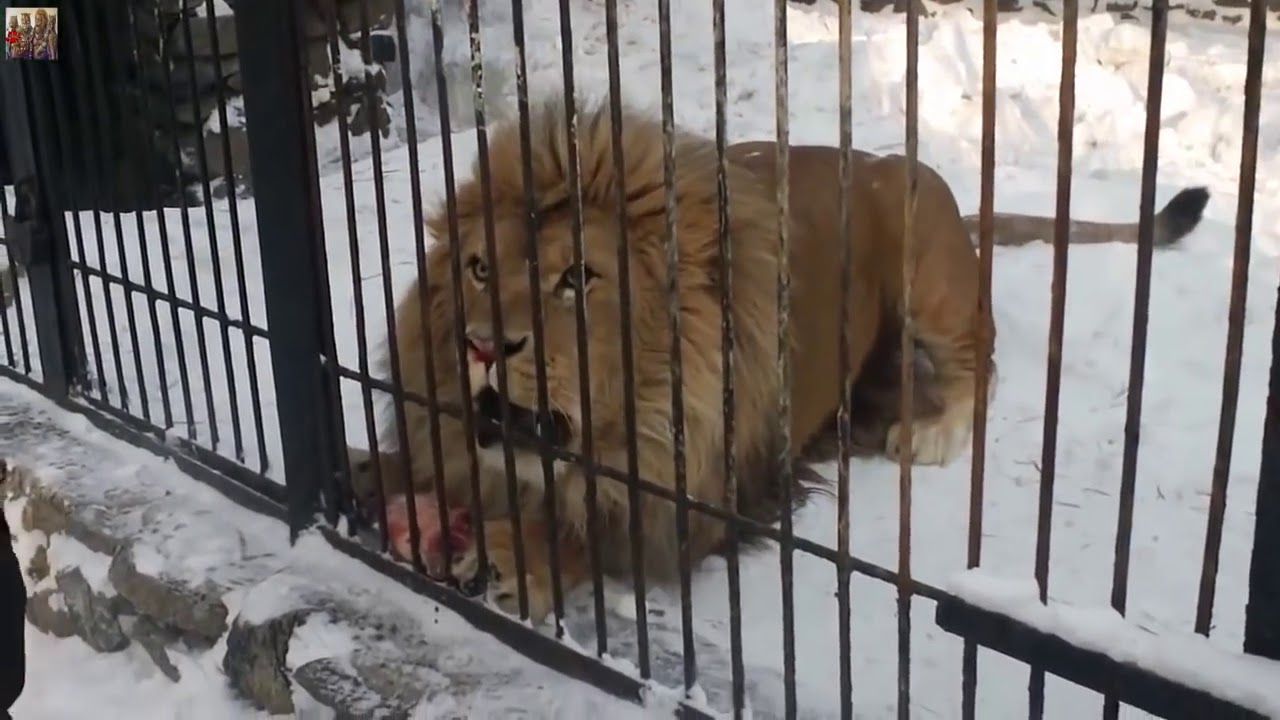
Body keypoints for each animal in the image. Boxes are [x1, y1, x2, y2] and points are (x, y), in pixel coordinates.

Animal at [345, 95, 1209, 624]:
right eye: (477, 269)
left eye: (577, 279)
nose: (483, 345)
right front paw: (366, 476)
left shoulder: (706, 499)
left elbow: (598, 534)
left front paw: (507, 553)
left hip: (928, 274)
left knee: (982, 361)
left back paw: (927, 432)